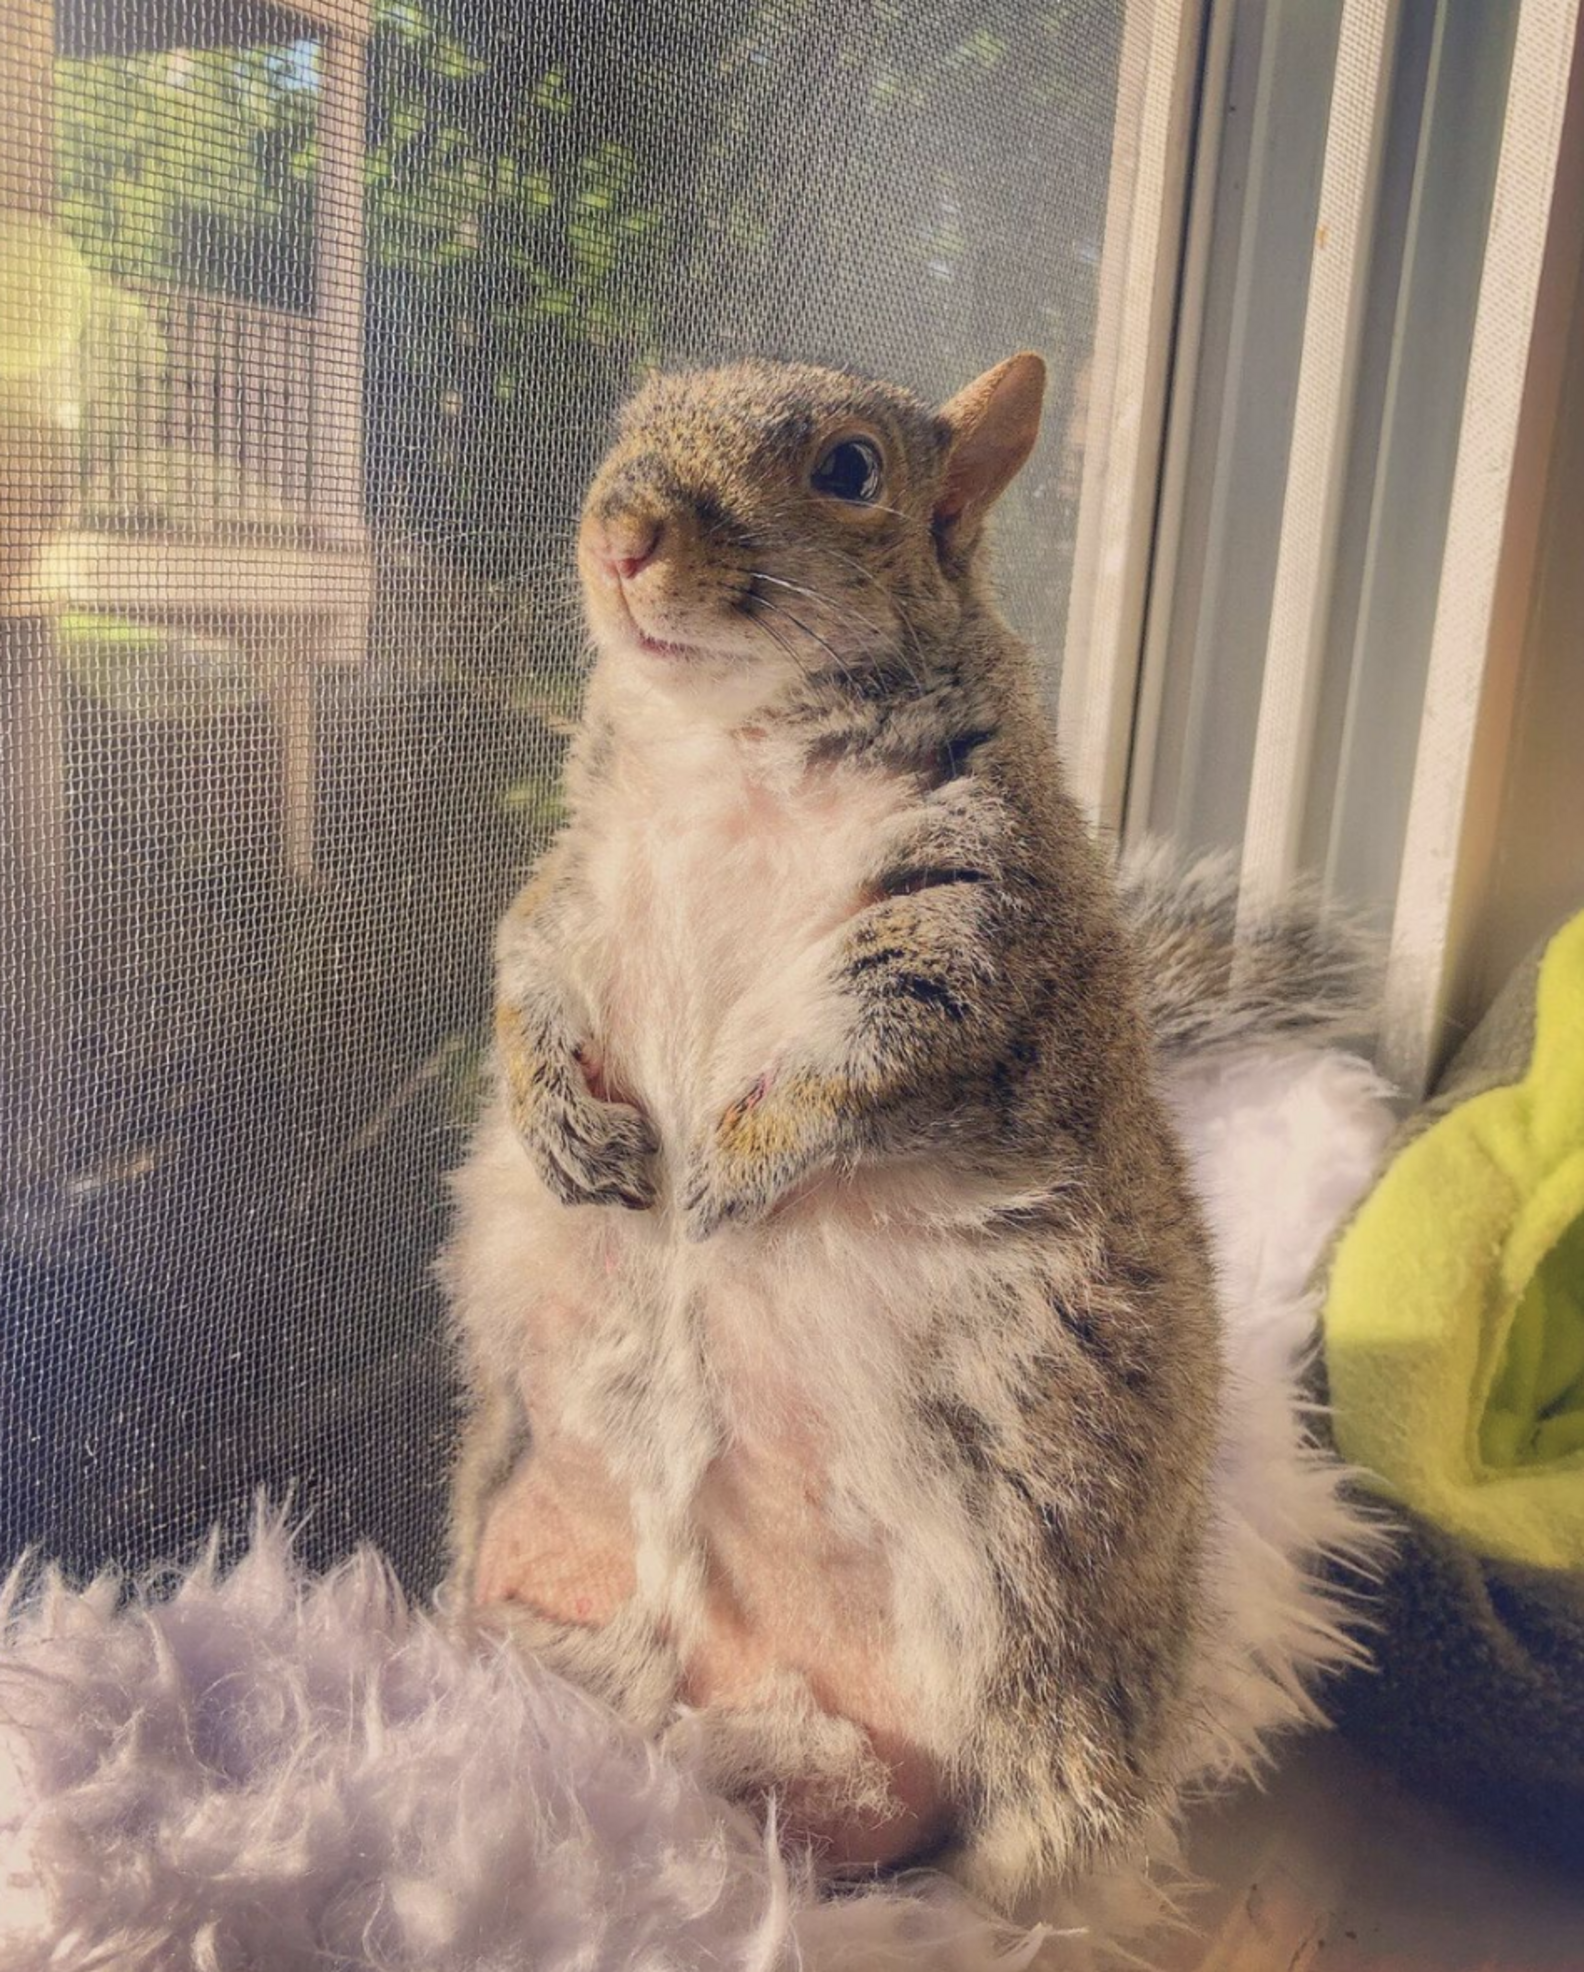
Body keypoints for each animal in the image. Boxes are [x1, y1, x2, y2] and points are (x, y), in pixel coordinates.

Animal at [438, 353, 1361, 1913]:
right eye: (629, 431)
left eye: (850, 472)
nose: (621, 531)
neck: (726, 751)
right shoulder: (569, 889)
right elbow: (522, 976)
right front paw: (563, 1125)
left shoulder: (979, 920)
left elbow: (876, 1054)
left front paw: (733, 1173)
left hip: (1030, 1704)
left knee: (942, 1840)